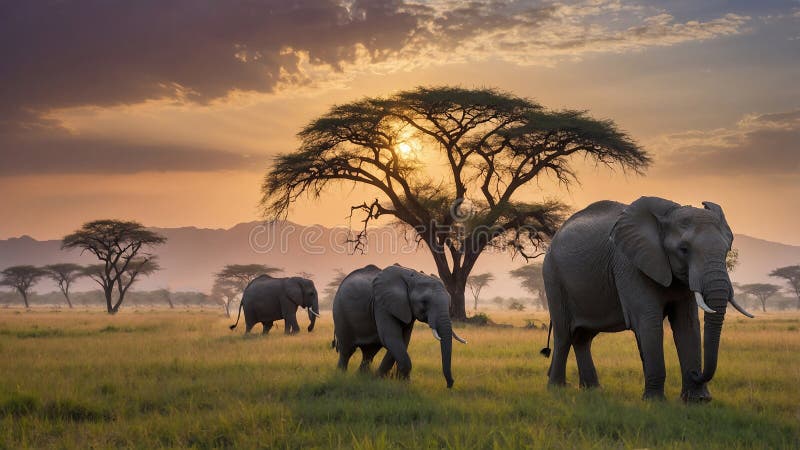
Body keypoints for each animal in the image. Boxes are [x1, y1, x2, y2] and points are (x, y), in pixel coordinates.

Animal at [332, 264, 467, 388]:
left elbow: (403, 340)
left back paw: (360, 377)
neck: (413, 277)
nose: (450, 384)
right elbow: (391, 338)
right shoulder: (382, 304)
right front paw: (396, 383)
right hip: (340, 313)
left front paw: (383, 380)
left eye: (449, 301)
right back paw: (341, 376)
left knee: (369, 352)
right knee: (347, 350)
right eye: (424, 302)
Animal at [542, 197, 752, 401]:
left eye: (727, 250)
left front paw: (697, 400)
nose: (695, 373)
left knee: (583, 337)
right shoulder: (629, 263)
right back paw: (556, 389)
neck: (669, 213)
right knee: (564, 335)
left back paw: (593, 390)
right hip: (553, 277)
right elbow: (649, 322)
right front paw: (654, 401)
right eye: (684, 249)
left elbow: (687, 324)